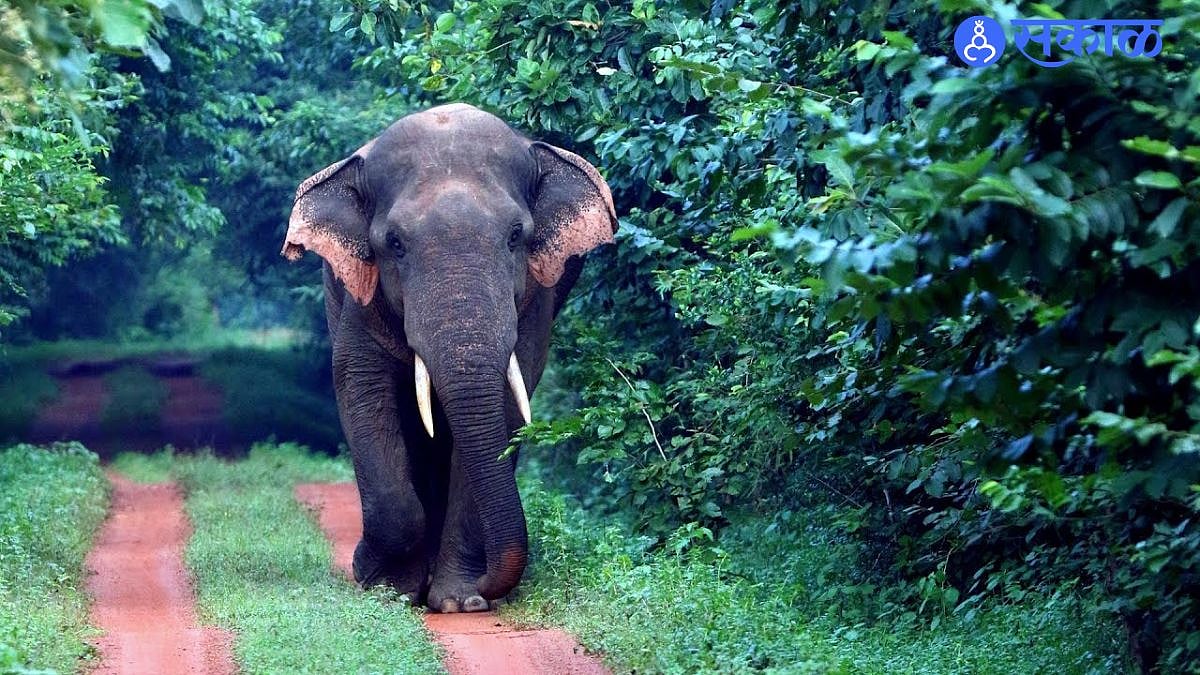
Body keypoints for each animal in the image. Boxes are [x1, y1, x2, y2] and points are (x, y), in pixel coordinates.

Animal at [281, 103, 616, 612]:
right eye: (394, 243)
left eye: (516, 236)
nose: (488, 586)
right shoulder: (360, 297)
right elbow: (359, 380)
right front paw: (382, 585)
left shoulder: (537, 297)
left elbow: (509, 394)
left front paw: (461, 602)